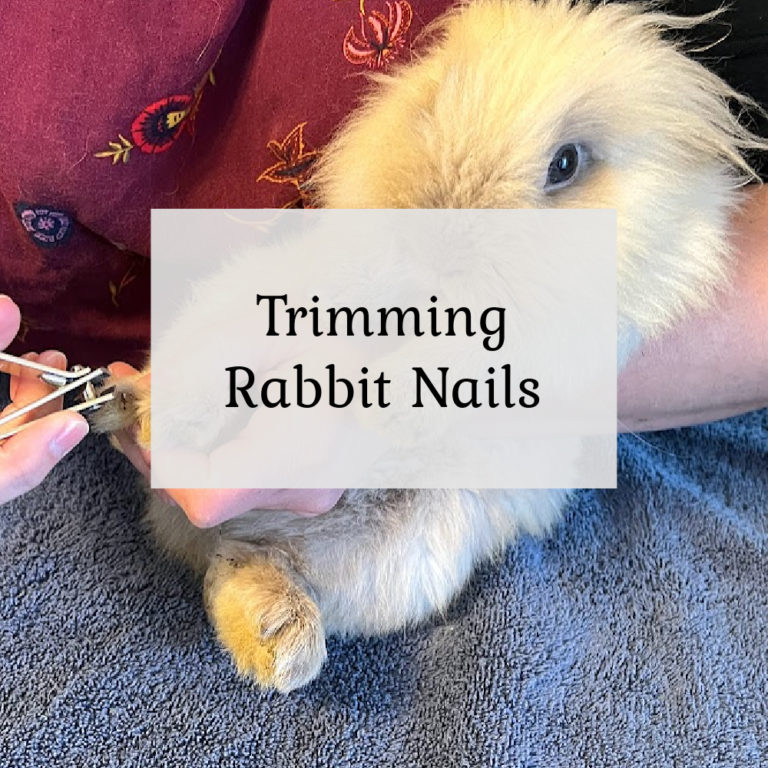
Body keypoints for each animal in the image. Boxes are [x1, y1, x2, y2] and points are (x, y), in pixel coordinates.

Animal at [94, 0, 767, 692]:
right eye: (432, 105)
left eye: (566, 164)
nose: (440, 229)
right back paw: (129, 409)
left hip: (404, 560)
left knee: (244, 565)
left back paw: (280, 647)